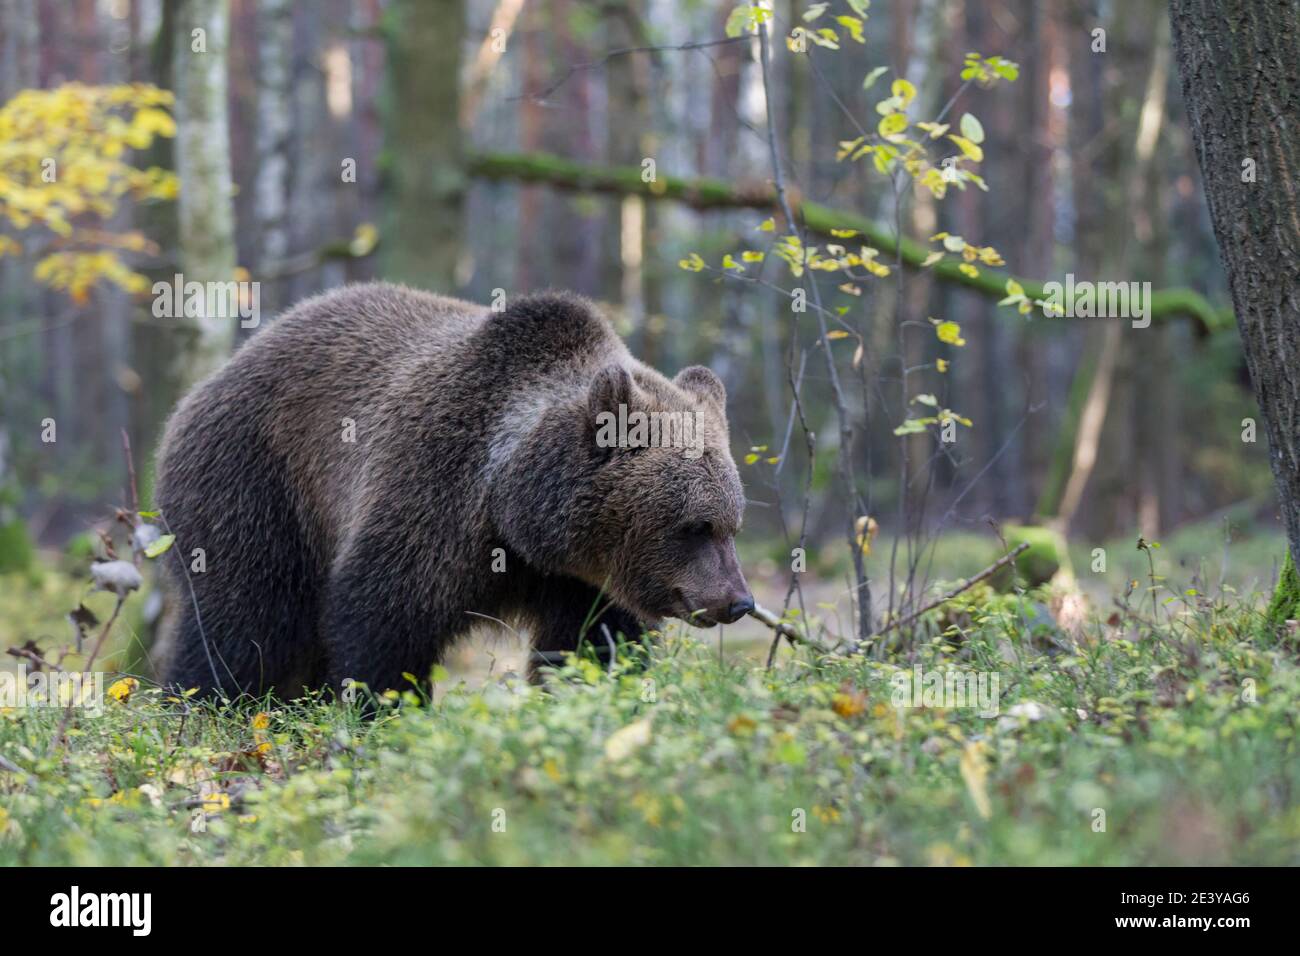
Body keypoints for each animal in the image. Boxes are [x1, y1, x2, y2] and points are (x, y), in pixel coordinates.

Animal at [152, 282, 753, 698]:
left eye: (732, 525)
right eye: (694, 526)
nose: (738, 601)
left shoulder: (583, 582)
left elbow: (593, 647)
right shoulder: (432, 499)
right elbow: (382, 620)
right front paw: (378, 709)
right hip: (258, 482)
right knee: (246, 617)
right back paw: (203, 701)